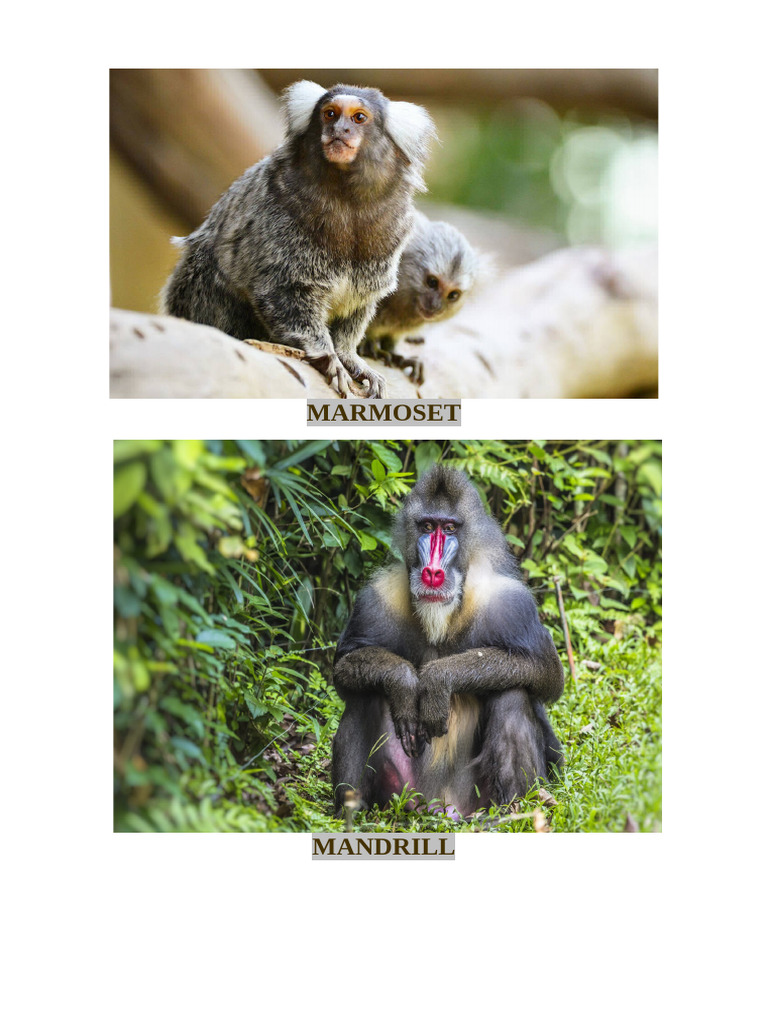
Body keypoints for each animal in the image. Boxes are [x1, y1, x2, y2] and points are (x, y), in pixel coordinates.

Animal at [160, 80, 436, 399]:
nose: (339, 130)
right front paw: (328, 357)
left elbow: (357, 305)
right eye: (330, 114)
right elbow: (285, 293)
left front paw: (349, 356)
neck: (348, 200)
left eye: (358, 118)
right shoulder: (279, 217)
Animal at [332, 465, 564, 819]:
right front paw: (404, 684)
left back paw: (513, 813)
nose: (432, 573)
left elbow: (546, 673)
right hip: (399, 790)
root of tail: (439, 808)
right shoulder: (373, 601)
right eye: (428, 527)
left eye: (450, 528)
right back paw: (351, 814)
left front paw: (438, 681)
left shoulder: (513, 604)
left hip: (475, 796)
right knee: (364, 694)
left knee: (511, 694)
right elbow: (345, 668)